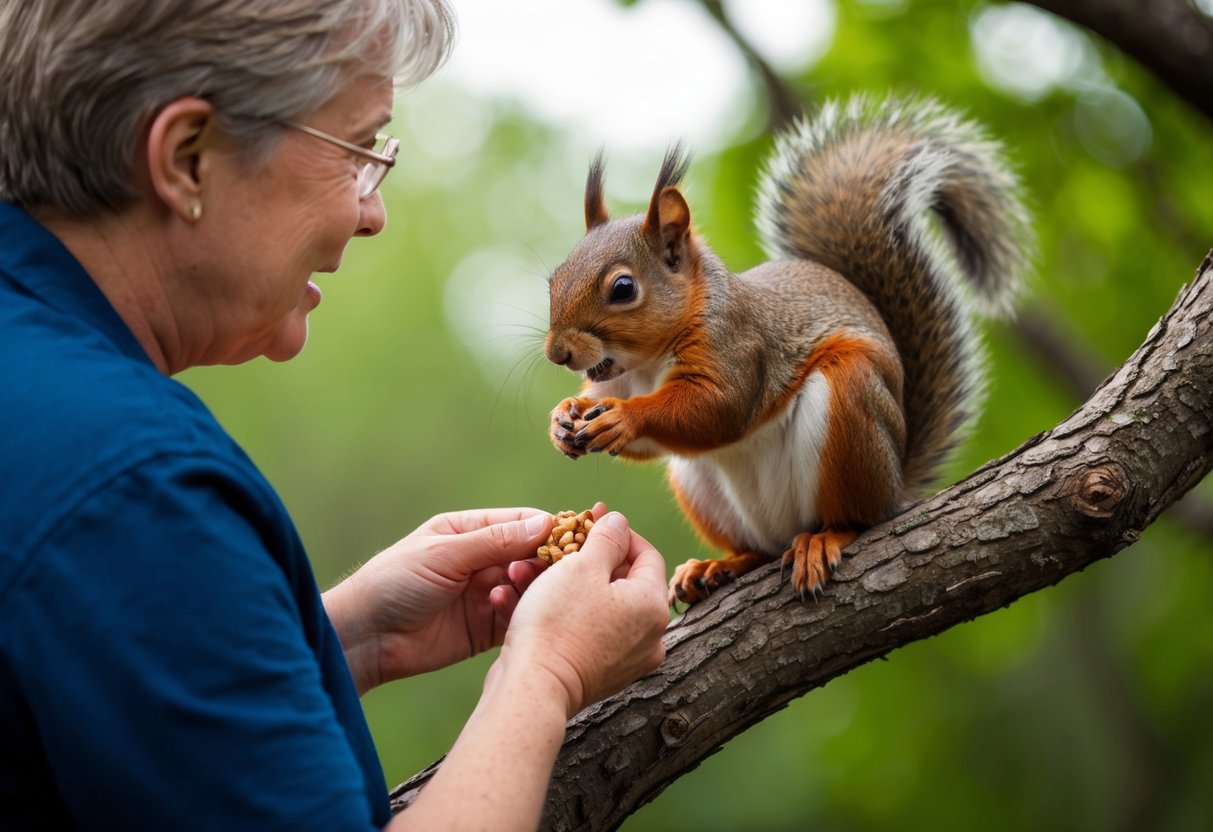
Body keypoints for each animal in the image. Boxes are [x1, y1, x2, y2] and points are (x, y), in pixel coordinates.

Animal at [544, 95, 1032, 605]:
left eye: (623, 288)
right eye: (553, 279)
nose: (558, 353)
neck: (647, 364)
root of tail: (896, 483)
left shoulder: (740, 345)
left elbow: (719, 408)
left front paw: (624, 417)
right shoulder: (619, 379)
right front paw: (563, 416)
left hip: (853, 410)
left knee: (856, 518)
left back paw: (824, 538)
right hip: (702, 488)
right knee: (758, 549)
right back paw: (718, 565)